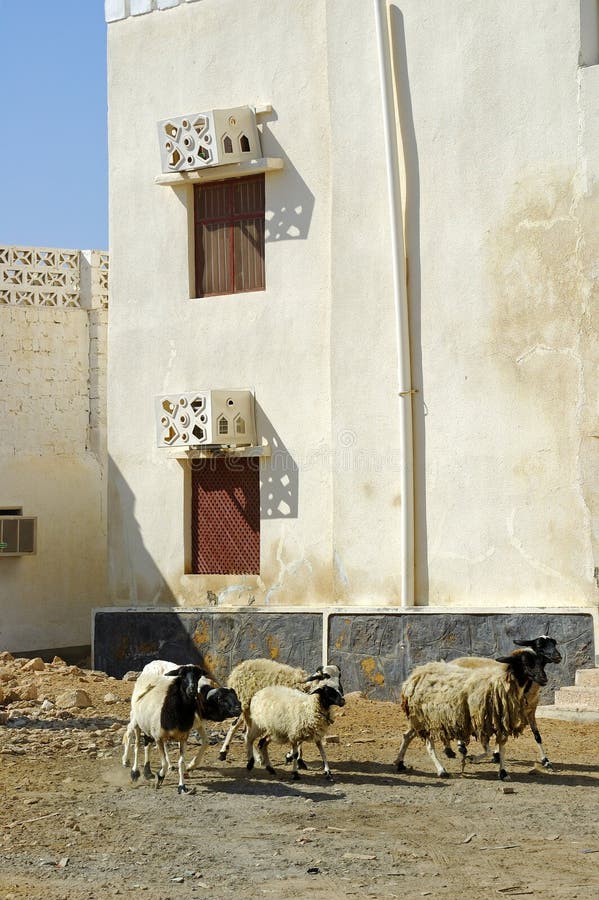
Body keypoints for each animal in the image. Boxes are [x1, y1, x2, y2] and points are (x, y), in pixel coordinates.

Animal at [122, 664, 240, 793]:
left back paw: (150, 771)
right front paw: (184, 770)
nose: (238, 708)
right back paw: (129, 764)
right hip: (137, 717)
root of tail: (149, 665)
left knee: (148, 741)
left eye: (235, 696)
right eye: (220, 699)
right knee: (132, 735)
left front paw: (189, 767)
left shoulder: (196, 724)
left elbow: (205, 742)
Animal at [394, 648, 548, 781]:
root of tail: (415, 675)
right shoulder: (481, 722)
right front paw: (471, 758)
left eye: (541, 662)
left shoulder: (499, 722)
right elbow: (488, 750)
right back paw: (441, 770)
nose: (544, 679)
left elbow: (501, 748)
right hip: (428, 718)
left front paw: (503, 772)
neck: (500, 682)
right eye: (526, 662)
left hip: (421, 718)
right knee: (429, 745)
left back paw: (400, 762)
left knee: (407, 735)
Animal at [442, 636, 562, 768]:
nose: (558, 656)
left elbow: (537, 736)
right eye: (540, 645)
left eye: (554, 643)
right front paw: (495, 755)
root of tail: (450, 662)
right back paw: (452, 749)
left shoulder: (530, 711)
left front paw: (546, 760)